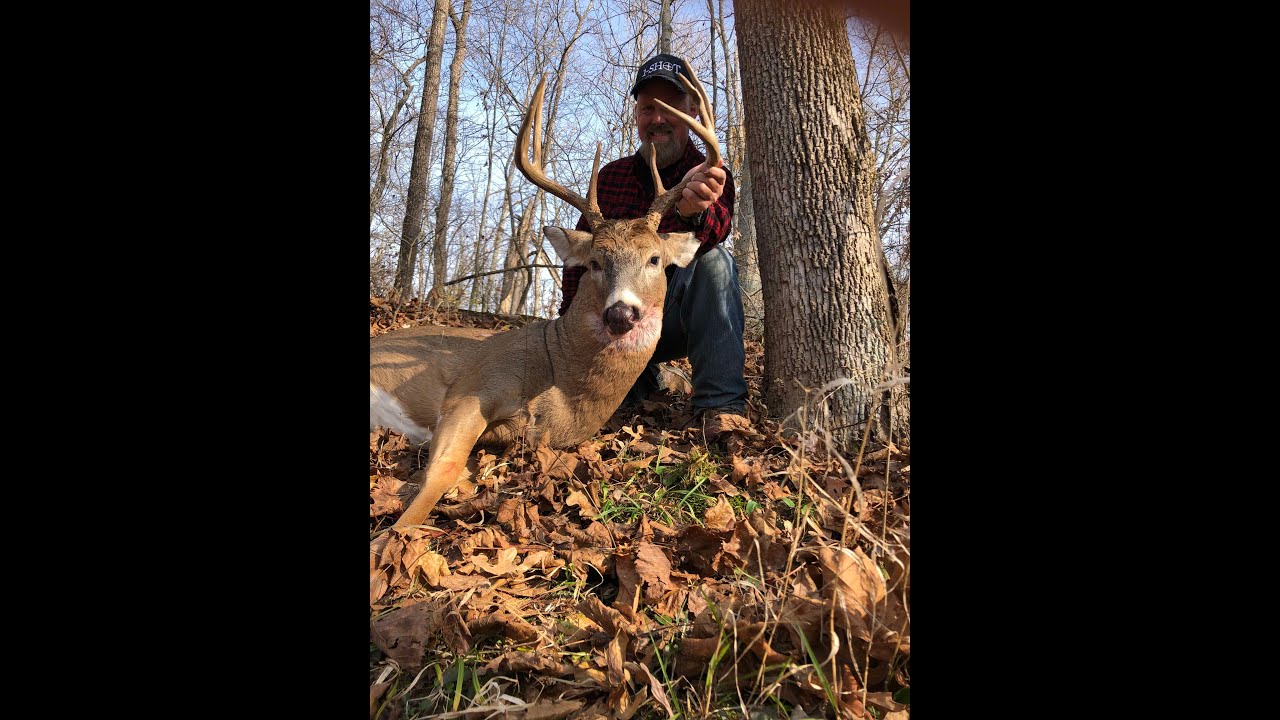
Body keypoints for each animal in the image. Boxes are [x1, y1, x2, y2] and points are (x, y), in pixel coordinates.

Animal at [370, 67, 721, 530]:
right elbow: (443, 470)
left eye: (655, 259)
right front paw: (392, 540)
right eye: (594, 261)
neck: (562, 384)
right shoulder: (474, 384)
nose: (621, 313)